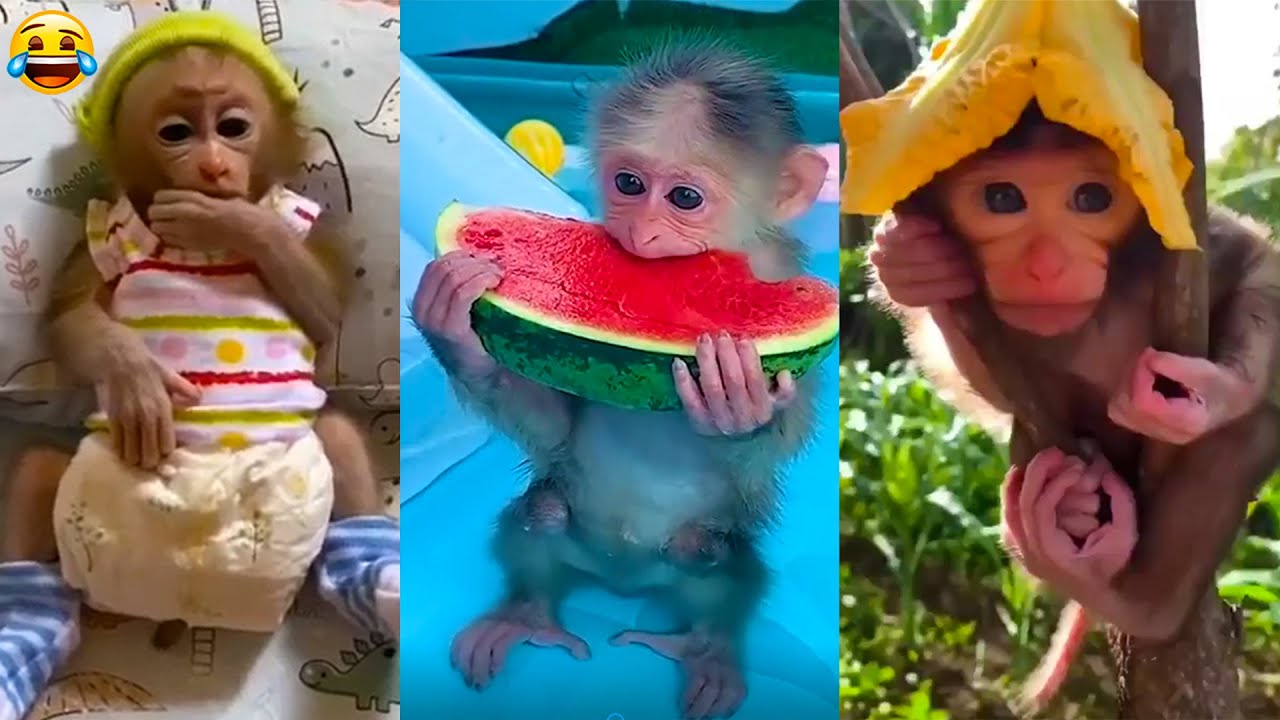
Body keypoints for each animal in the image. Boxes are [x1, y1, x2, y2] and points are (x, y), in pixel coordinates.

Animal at [0, 15, 400, 720]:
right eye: (176, 133)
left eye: (234, 126)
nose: (213, 164)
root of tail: (184, 607)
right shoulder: (98, 231)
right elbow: (72, 320)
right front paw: (135, 380)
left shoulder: (309, 236)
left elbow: (324, 317)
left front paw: (237, 220)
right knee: (36, 476)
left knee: (340, 439)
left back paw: (389, 592)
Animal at [413, 42, 830, 719]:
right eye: (628, 184)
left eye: (684, 198)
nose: (640, 233)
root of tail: (622, 579)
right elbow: (553, 428)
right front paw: (454, 328)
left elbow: (770, 443)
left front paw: (744, 410)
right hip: (560, 528)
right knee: (539, 520)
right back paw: (524, 617)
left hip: (703, 558)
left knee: (713, 569)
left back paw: (706, 653)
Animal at [867, 100, 1280, 709]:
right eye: (1002, 199)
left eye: (1091, 198)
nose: (1046, 264)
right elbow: (1000, 386)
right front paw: (913, 264)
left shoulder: (1180, 240)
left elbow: (1256, 261)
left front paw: (1207, 395)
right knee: (1030, 432)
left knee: (1247, 433)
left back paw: (1134, 599)